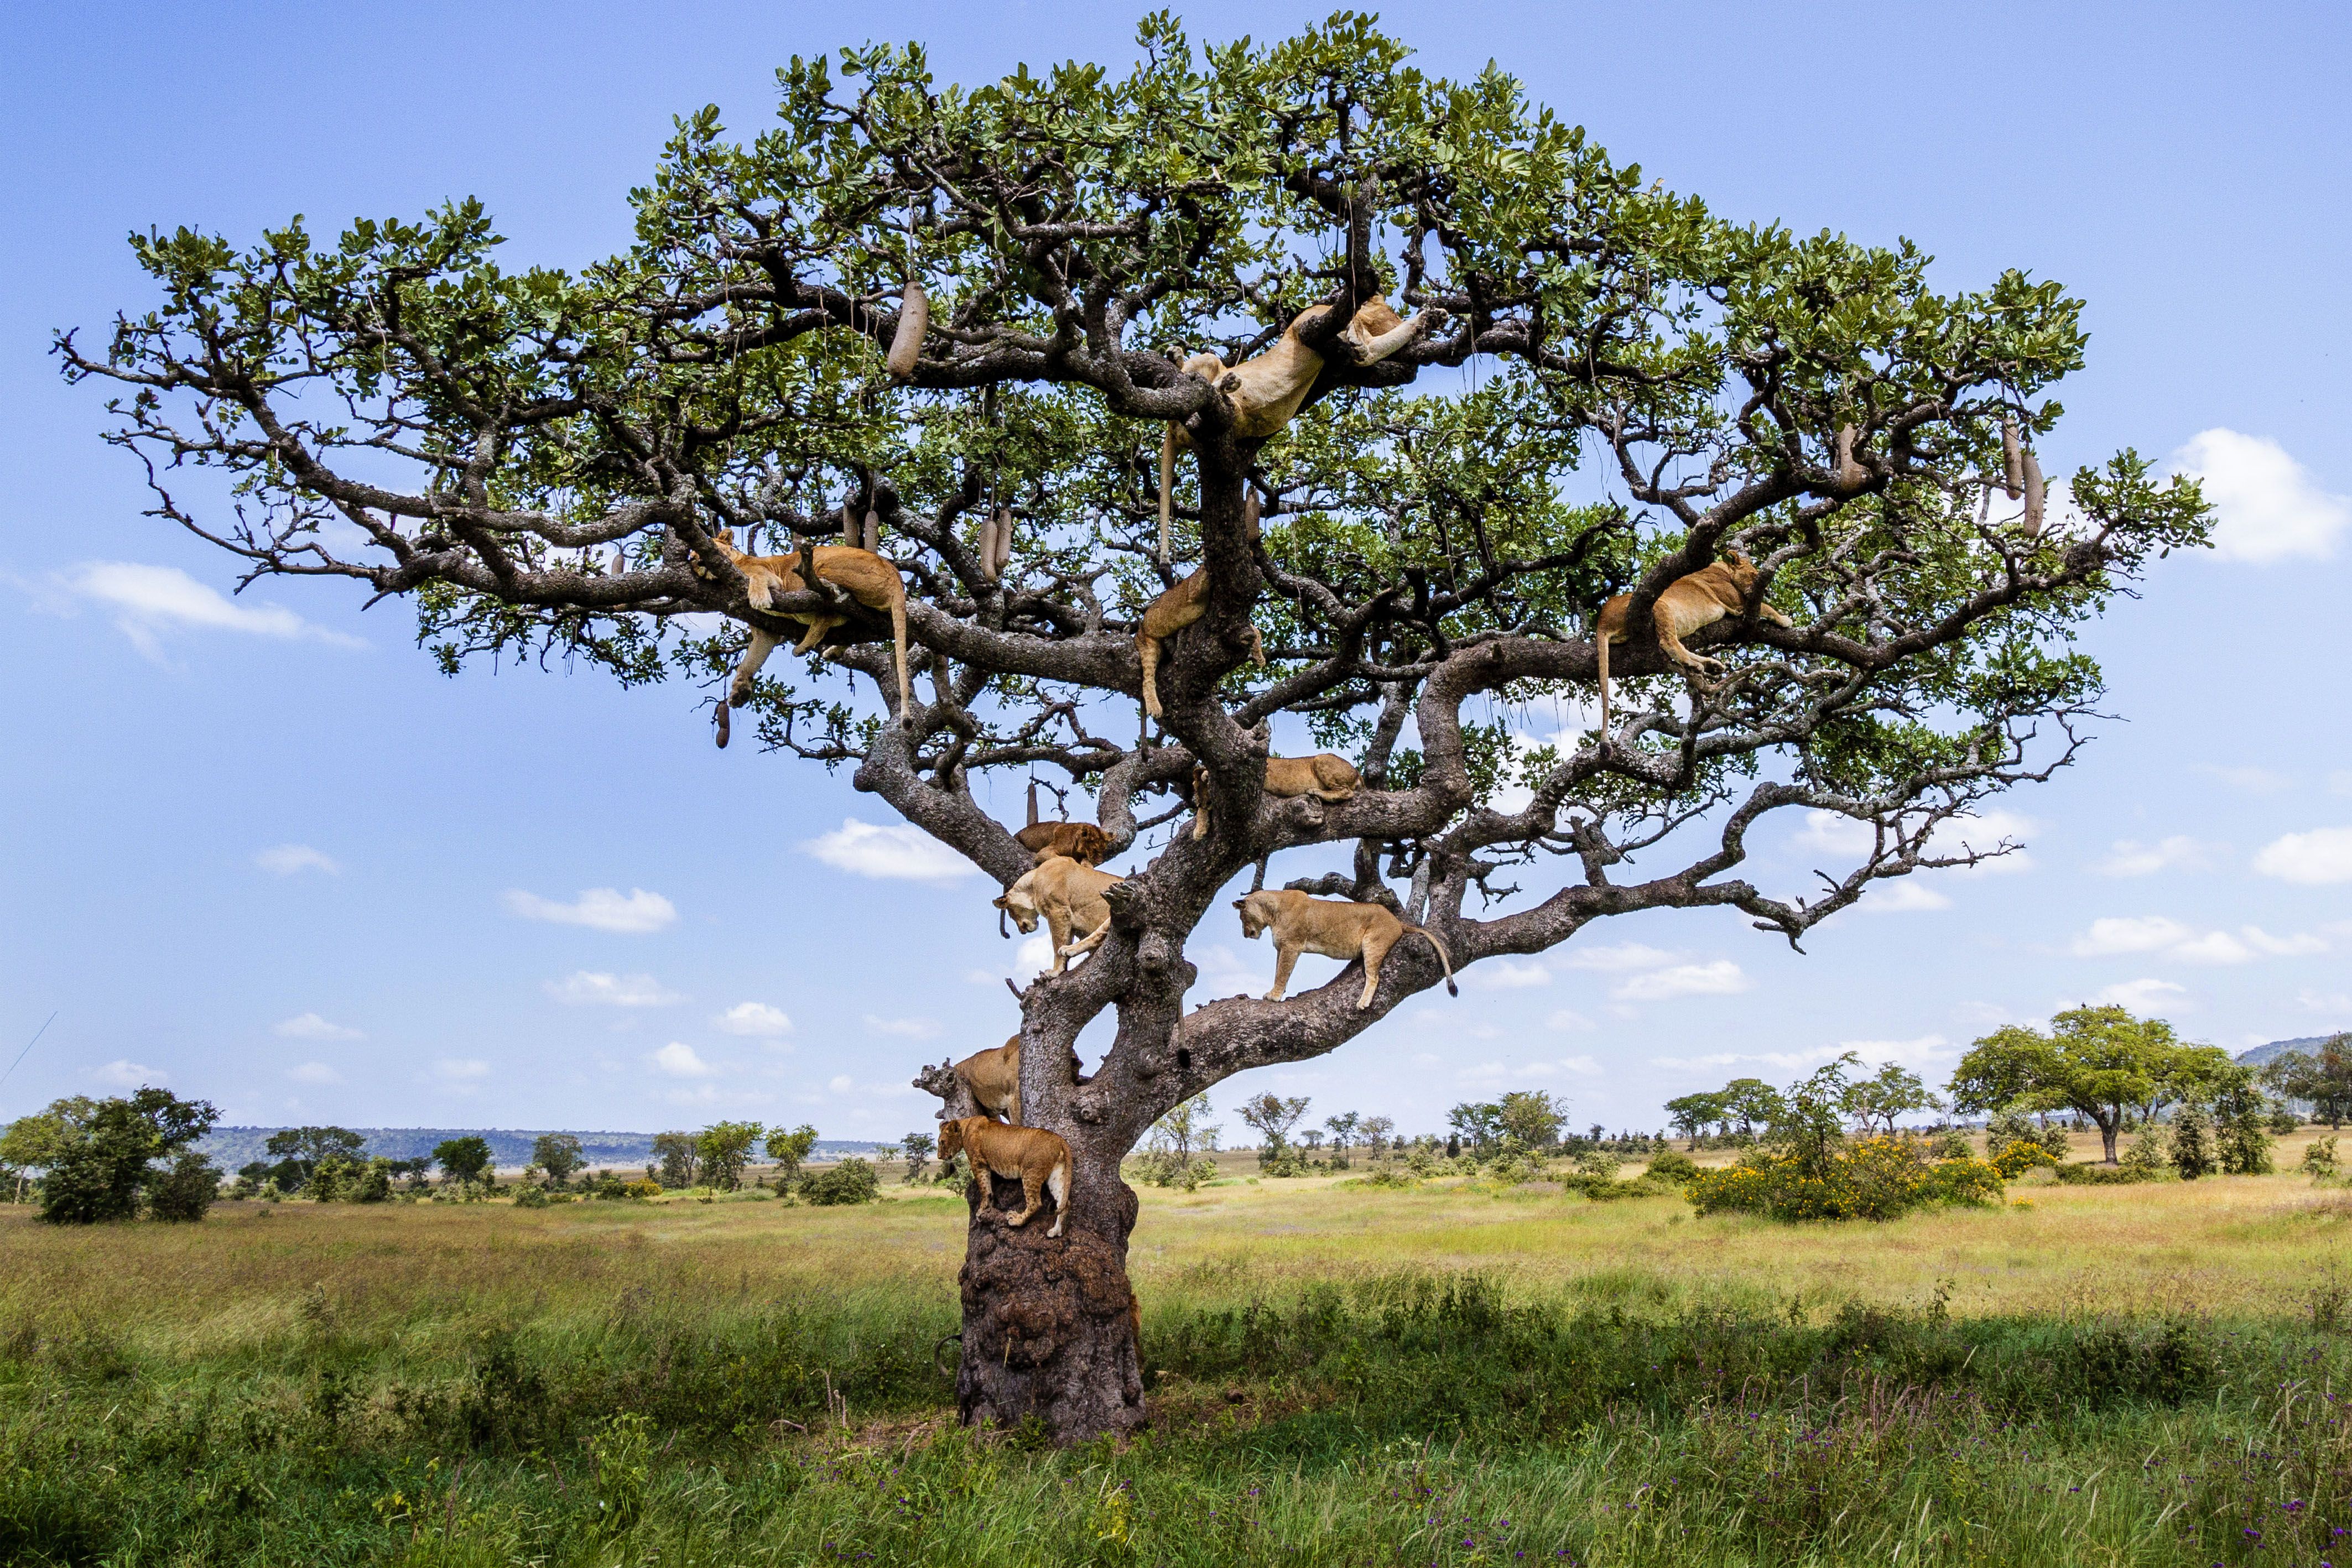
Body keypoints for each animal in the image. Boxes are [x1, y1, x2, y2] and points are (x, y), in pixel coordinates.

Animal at [938, 1115, 1072, 1237]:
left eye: (942, 1142)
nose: (939, 1157)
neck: (966, 1127)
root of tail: (1060, 1140)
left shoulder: (978, 1163)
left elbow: (984, 1189)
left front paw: (981, 1211)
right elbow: (988, 1189)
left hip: (1030, 1172)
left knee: (1035, 1203)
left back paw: (1016, 1220)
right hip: (1056, 1174)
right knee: (1064, 1202)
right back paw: (1056, 1231)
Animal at [994, 855, 1123, 973]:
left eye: (1011, 914)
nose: (1022, 931)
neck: (1032, 882)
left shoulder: (1059, 911)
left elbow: (1057, 943)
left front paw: (1056, 971)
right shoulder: (1068, 920)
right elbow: (1065, 938)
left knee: (1098, 935)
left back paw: (1069, 950)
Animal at [1191, 753, 1361, 840]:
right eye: (1193, 787)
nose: (1197, 802)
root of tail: (1357, 772)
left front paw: (1206, 775)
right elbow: (1202, 812)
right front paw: (1200, 829)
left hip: (1321, 759)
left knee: (1347, 792)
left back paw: (1316, 791)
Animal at [1233, 887, 1458, 1010]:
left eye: (1241, 916)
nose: (1245, 935)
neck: (1272, 911)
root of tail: (1396, 921)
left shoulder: (1291, 945)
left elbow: (1282, 972)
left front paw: (1274, 996)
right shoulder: (1282, 947)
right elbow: (1279, 971)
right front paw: (1276, 992)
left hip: (1373, 944)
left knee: (1374, 977)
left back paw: (1363, 1002)